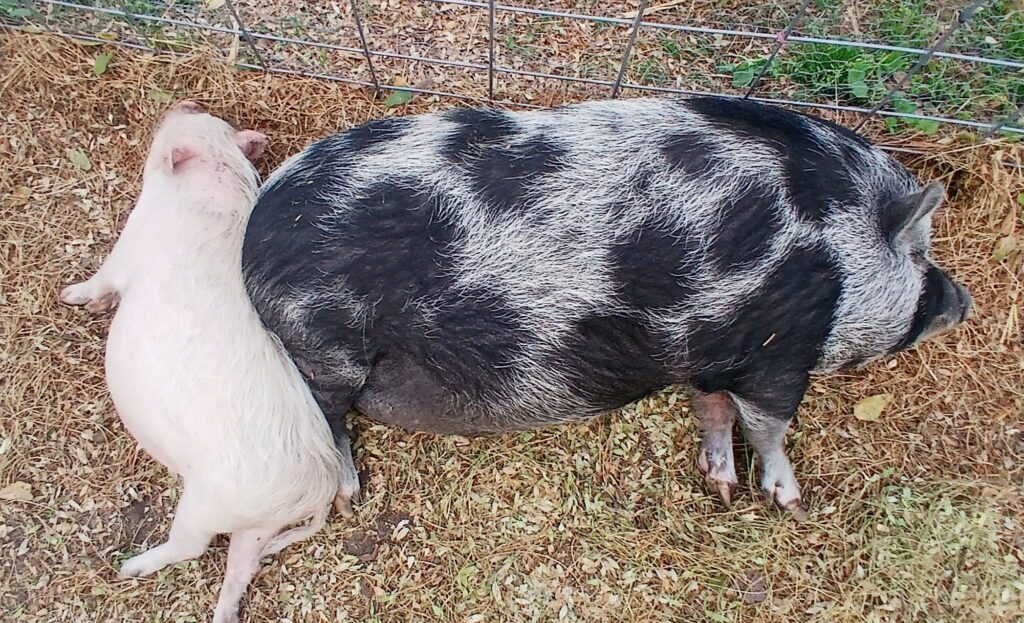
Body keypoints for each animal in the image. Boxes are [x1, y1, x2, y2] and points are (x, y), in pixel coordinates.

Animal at [60, 101, 355, 623]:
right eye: (216, 121)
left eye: (183, 128)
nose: (186, 103)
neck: (218, 177)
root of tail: (317, 484)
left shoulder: (130, 246)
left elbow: (101, 280)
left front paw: (69, 295)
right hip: (255, 526)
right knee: (242, 569)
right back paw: (221, 613)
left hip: (205, 503)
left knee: (192, 547)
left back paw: (129, 567)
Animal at [241, 96, 972, 519]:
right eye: (921, 256)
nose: (961, 299)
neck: (836, 264)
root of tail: (255, 238)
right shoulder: (780, 352)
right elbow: (769, 425)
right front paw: (788, 501)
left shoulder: (712, 352)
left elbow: (712, 407)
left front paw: (722, 488)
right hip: (325, 345)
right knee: (329, 420)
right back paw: (350, 497)